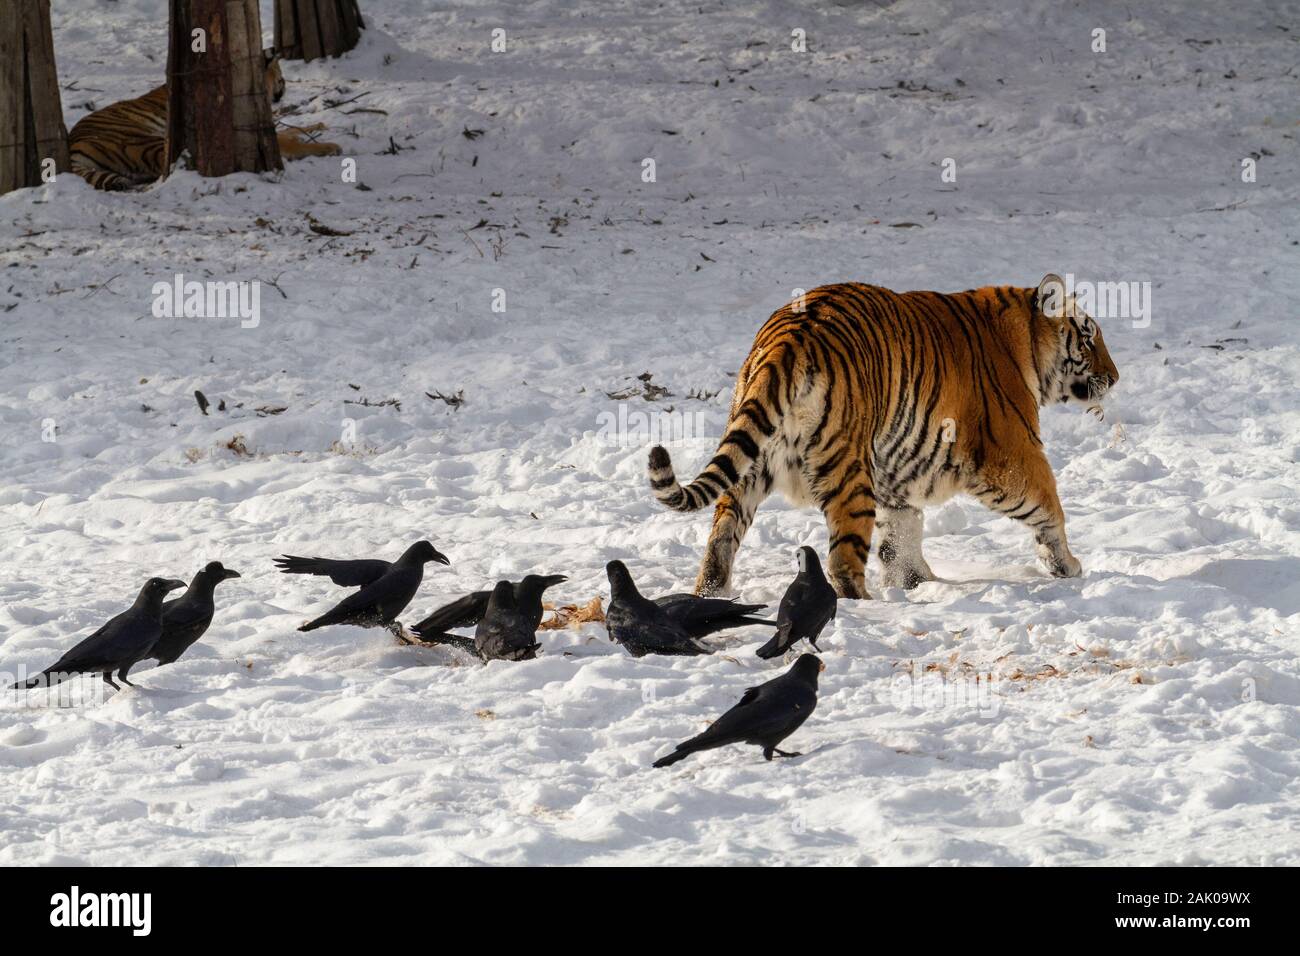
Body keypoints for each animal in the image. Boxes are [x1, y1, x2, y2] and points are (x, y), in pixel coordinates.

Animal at [68, 50, 341, 191]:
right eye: (282, 79)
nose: (282, 93)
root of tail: (72, 145)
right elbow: (290, 143)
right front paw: (330, 146)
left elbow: (291, 131)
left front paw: (318, 126)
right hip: (148, 141)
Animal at [647, 275, 1120, 599]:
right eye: (1088, 337)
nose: (1114, 377)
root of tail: (786, 339)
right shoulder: (1011, 451)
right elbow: (1049, 506)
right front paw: (1067, 565)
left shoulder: (902, 466)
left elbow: (902, 535)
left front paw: (918, 582)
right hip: (851, 474)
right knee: (842, 561)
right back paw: (867, 606)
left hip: (751, 465)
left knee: (720, 537)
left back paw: (711, 594)